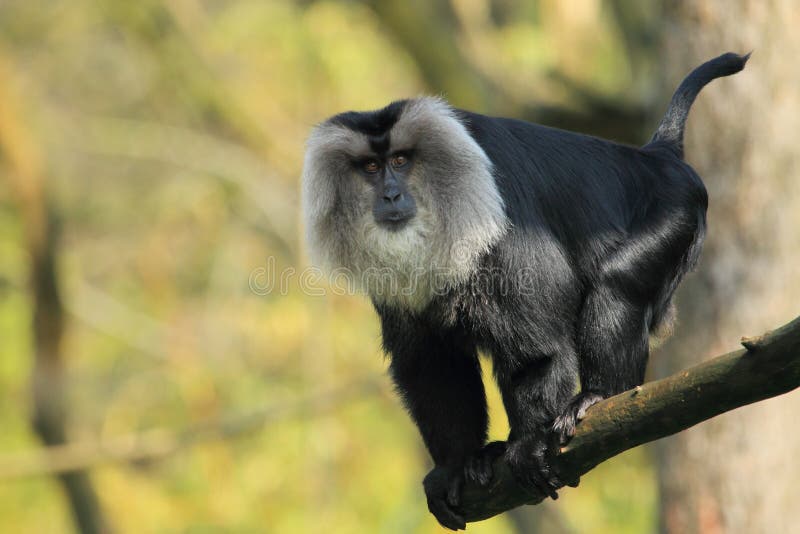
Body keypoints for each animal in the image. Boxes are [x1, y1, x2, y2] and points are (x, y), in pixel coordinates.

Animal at [300, 52, 752, 528]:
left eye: (402, 161)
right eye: (371, 167)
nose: (389, 195)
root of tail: (655, 158)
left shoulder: (505, 227)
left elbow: (540, 351)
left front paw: (528, 444)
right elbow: (432, 365)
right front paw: (456, 464)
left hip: (677, 211)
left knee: (617, 280)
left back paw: (601, 395)